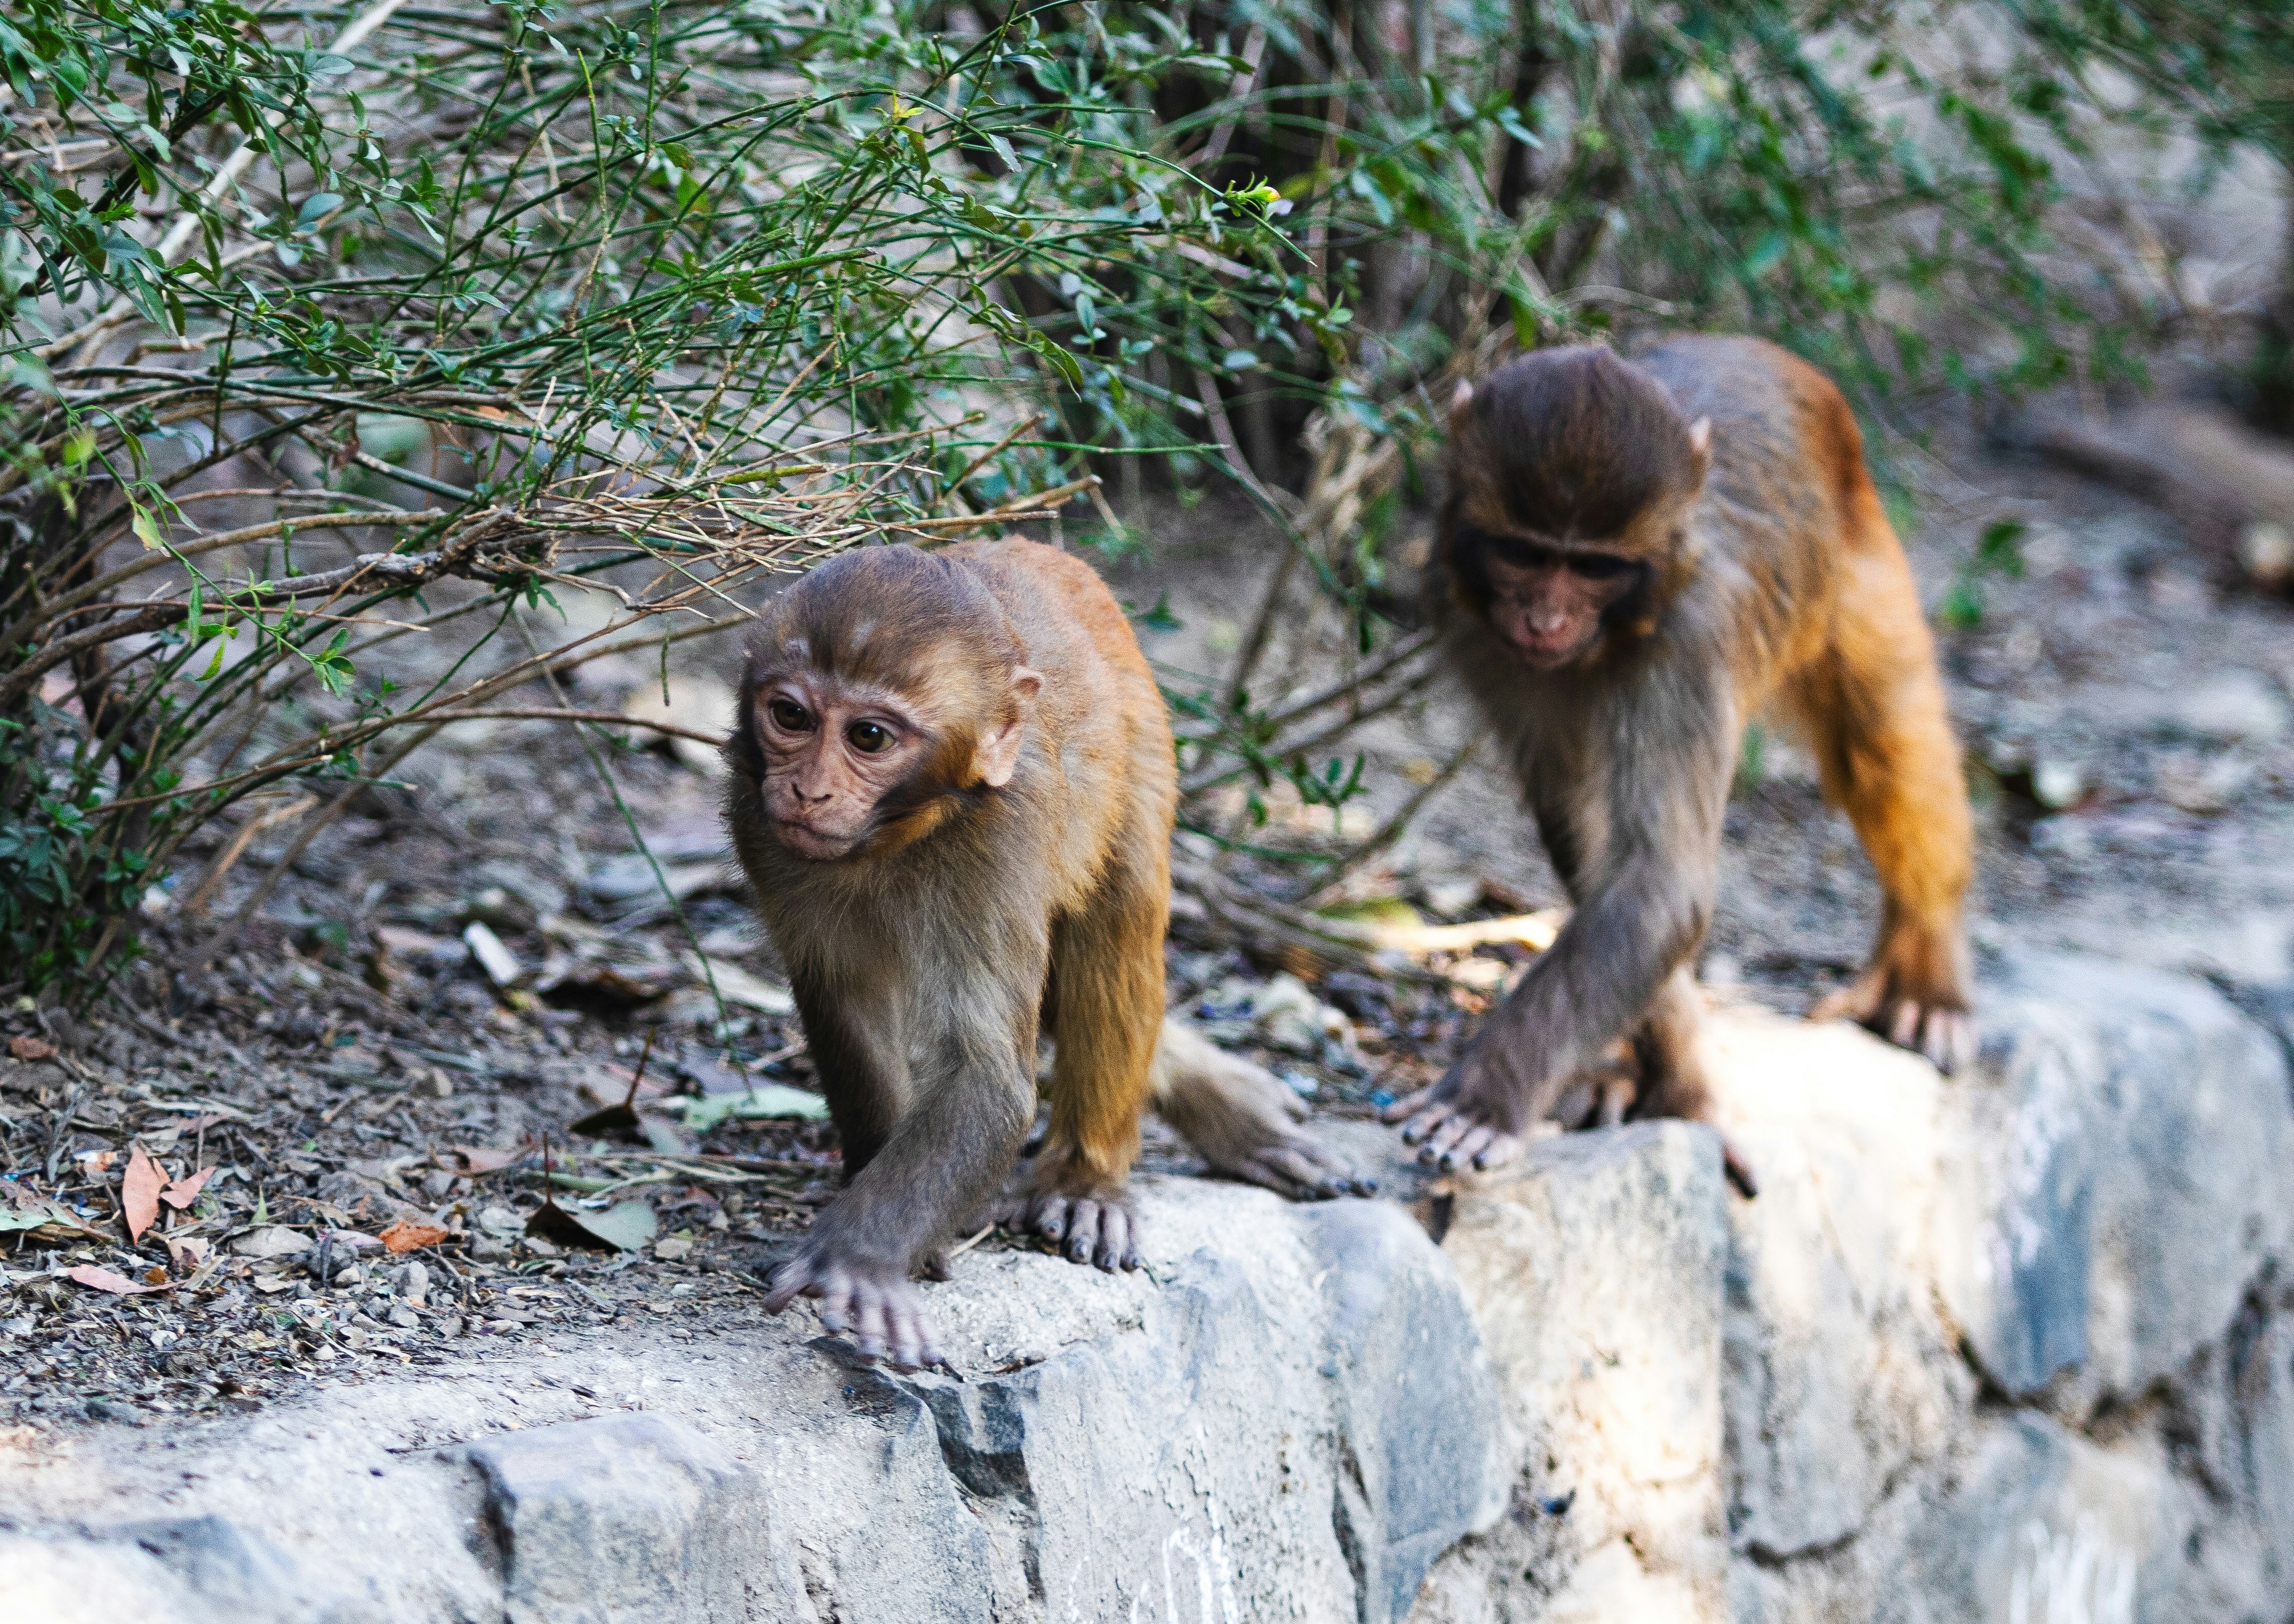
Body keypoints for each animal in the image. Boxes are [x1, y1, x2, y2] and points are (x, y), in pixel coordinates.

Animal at [726, 538, 1366, 1370]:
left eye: (869, 737)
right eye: (791, 716)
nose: (807, 790)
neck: (895, 837)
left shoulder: (999, 842)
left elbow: (987, 1076)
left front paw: (860, 1256)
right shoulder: (760, 830)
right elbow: (847, 1010)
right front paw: (889, 1211)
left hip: (1144, 742)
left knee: (1114, 927)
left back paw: (1087, 1182)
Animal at [1385, 338, 1975, 1192]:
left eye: (1593, 568)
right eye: (1525, 553)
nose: (1546, 619)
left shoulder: (1689, 643)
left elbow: (1659, 883)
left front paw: (1489, 1094)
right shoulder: (1472, 624)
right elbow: (1595, 849)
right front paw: (1679, 1084)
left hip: (1862, 567)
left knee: (1886, 752)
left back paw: (1930, 967)